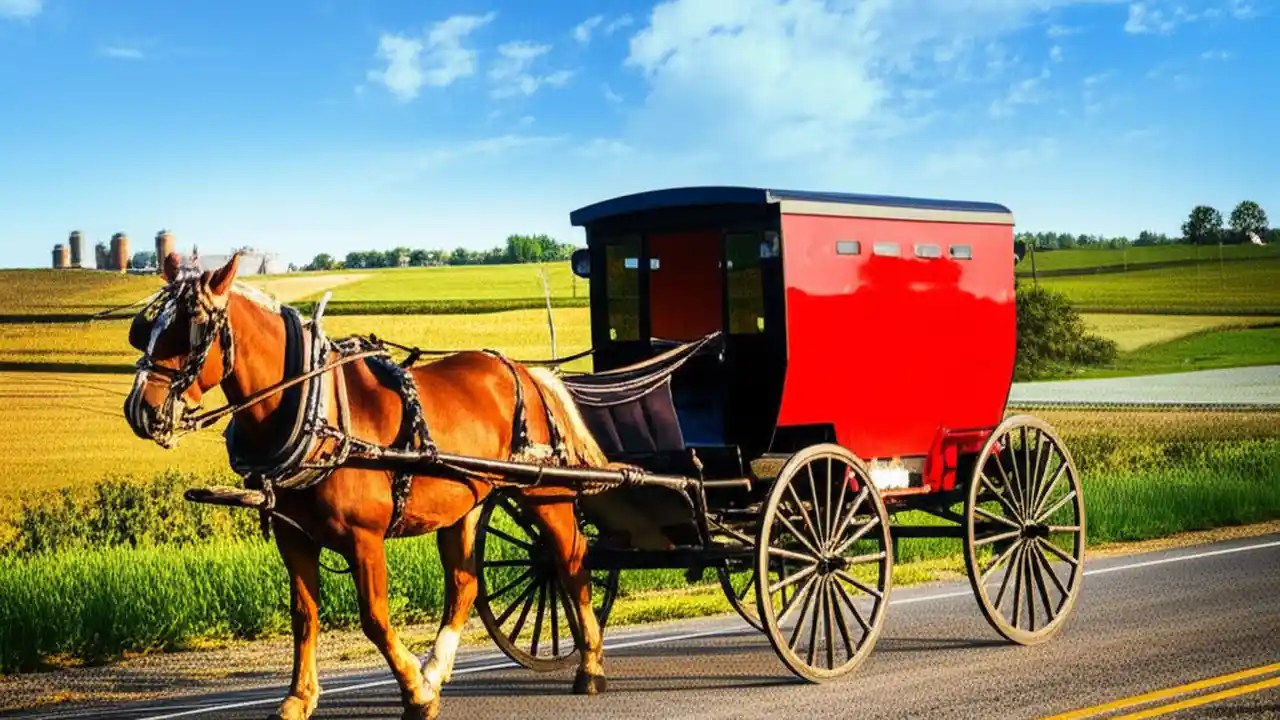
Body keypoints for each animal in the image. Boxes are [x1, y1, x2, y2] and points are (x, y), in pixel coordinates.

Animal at [122, 252, 612, 719]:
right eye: (143, 330)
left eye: (191, 330)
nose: (139, 410)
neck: (314, 410)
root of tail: (524, 370)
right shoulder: (293, 537)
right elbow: (304, 616)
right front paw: (299, 698)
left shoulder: (364, 538)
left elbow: (374, 617)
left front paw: (415, 693)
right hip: (466, 503)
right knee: (464, 584)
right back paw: (436, 669)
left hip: (544, 494)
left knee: (572, 562)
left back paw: (589, 665)